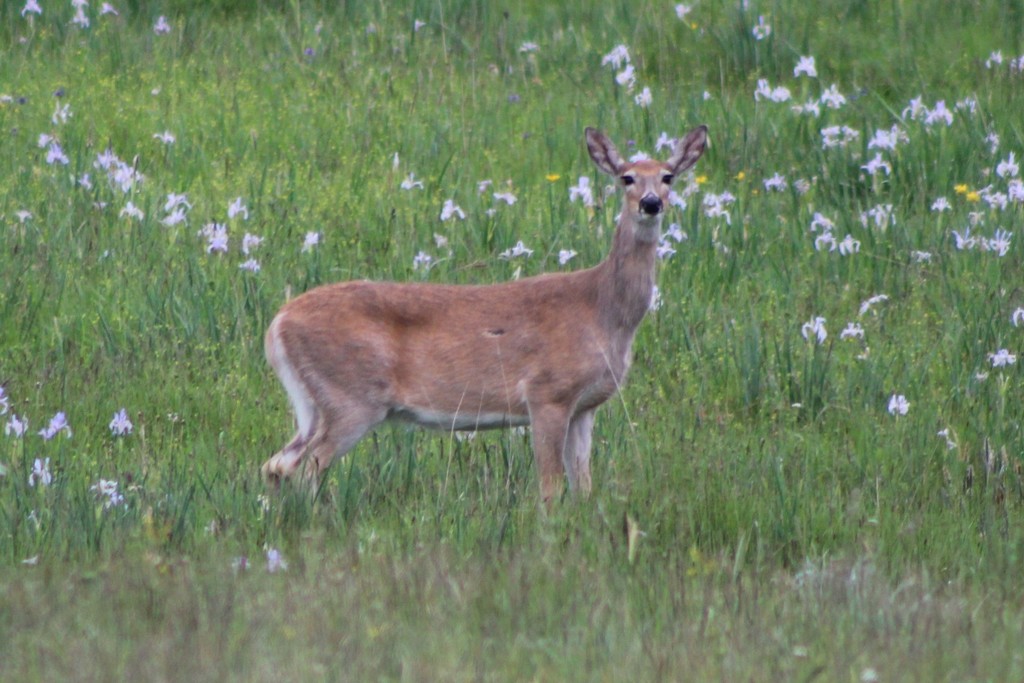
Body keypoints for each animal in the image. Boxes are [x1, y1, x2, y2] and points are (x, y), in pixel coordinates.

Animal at [261, 124, 708, 502]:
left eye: (668, 176)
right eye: (626, 178)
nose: (651, 203)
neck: (602, 311)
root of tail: (277, 324)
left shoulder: (585, 406)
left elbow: (583, 486)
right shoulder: (547, 393)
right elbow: (550, 488)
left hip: (314, 404)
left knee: (276, 464)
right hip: (351, 397)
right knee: (304, 468)